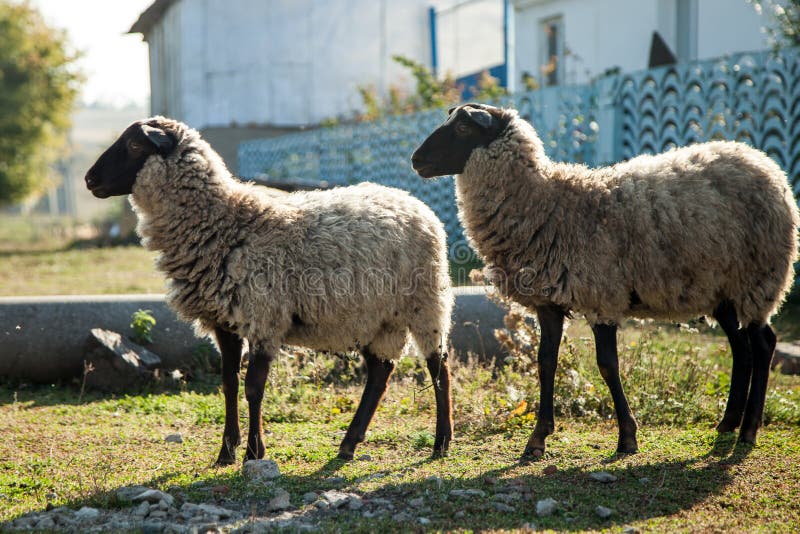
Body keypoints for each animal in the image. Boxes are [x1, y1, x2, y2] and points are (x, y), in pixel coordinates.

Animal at [85, 117, 454, 464]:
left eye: (134, 145)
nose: (89, 180)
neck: (225, 221)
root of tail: (413, 201)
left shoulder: (265, 318)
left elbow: (253, 388)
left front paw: (253, 452)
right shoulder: (225, 322)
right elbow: (229, 383)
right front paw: (226, 452)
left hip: (425, 303)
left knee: (438, 367)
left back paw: (441, 443)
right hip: (373, 318)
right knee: (380, 374)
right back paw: (349, 444)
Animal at [411, 102, 798, 457]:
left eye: (463, 128)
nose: (416, 160)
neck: (547, 202)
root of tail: (765, 162)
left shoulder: (602, 296)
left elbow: (607, 366)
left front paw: (627, 437)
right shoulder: (549, 302)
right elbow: (545, 363)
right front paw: (538, 439)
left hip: (758, 277)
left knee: (763, 344)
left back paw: (748, 431)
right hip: (722, 288)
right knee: (741, 348)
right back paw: (728, 423)